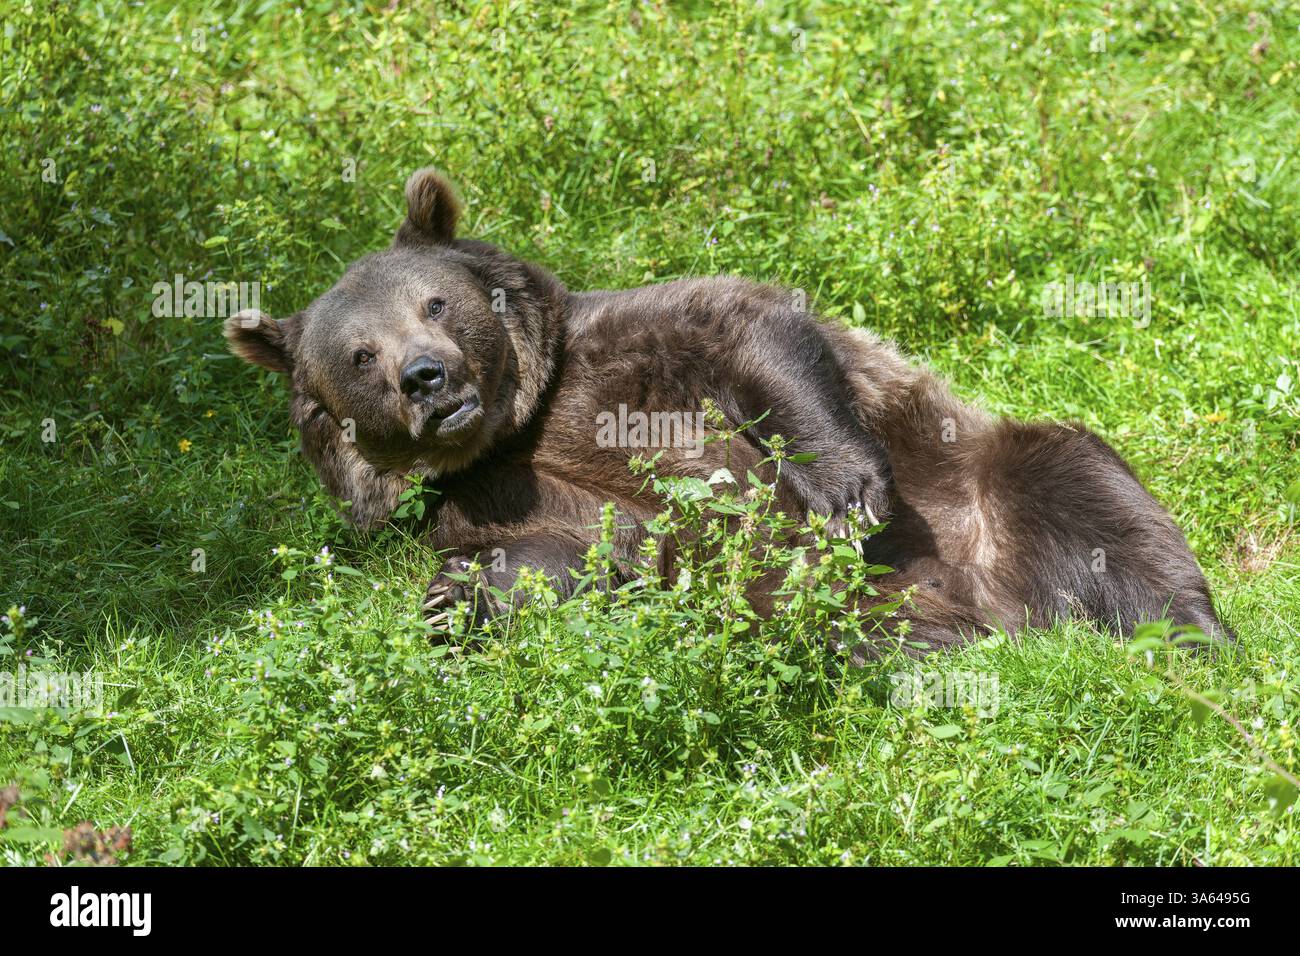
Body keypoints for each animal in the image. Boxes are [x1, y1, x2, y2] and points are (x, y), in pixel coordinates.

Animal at [225, 167, 1233, 656]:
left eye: (434, 303)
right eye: (359, 356)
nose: (428, 378)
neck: (521, 419)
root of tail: (1001, 600)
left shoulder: (630, 346)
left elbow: (752, 334)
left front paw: (843, 489)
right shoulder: (499, 493)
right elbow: (565, 551)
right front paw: (458, 599)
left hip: (978, 481)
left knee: (1089, 494)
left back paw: (1192, 635)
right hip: (842, 610)